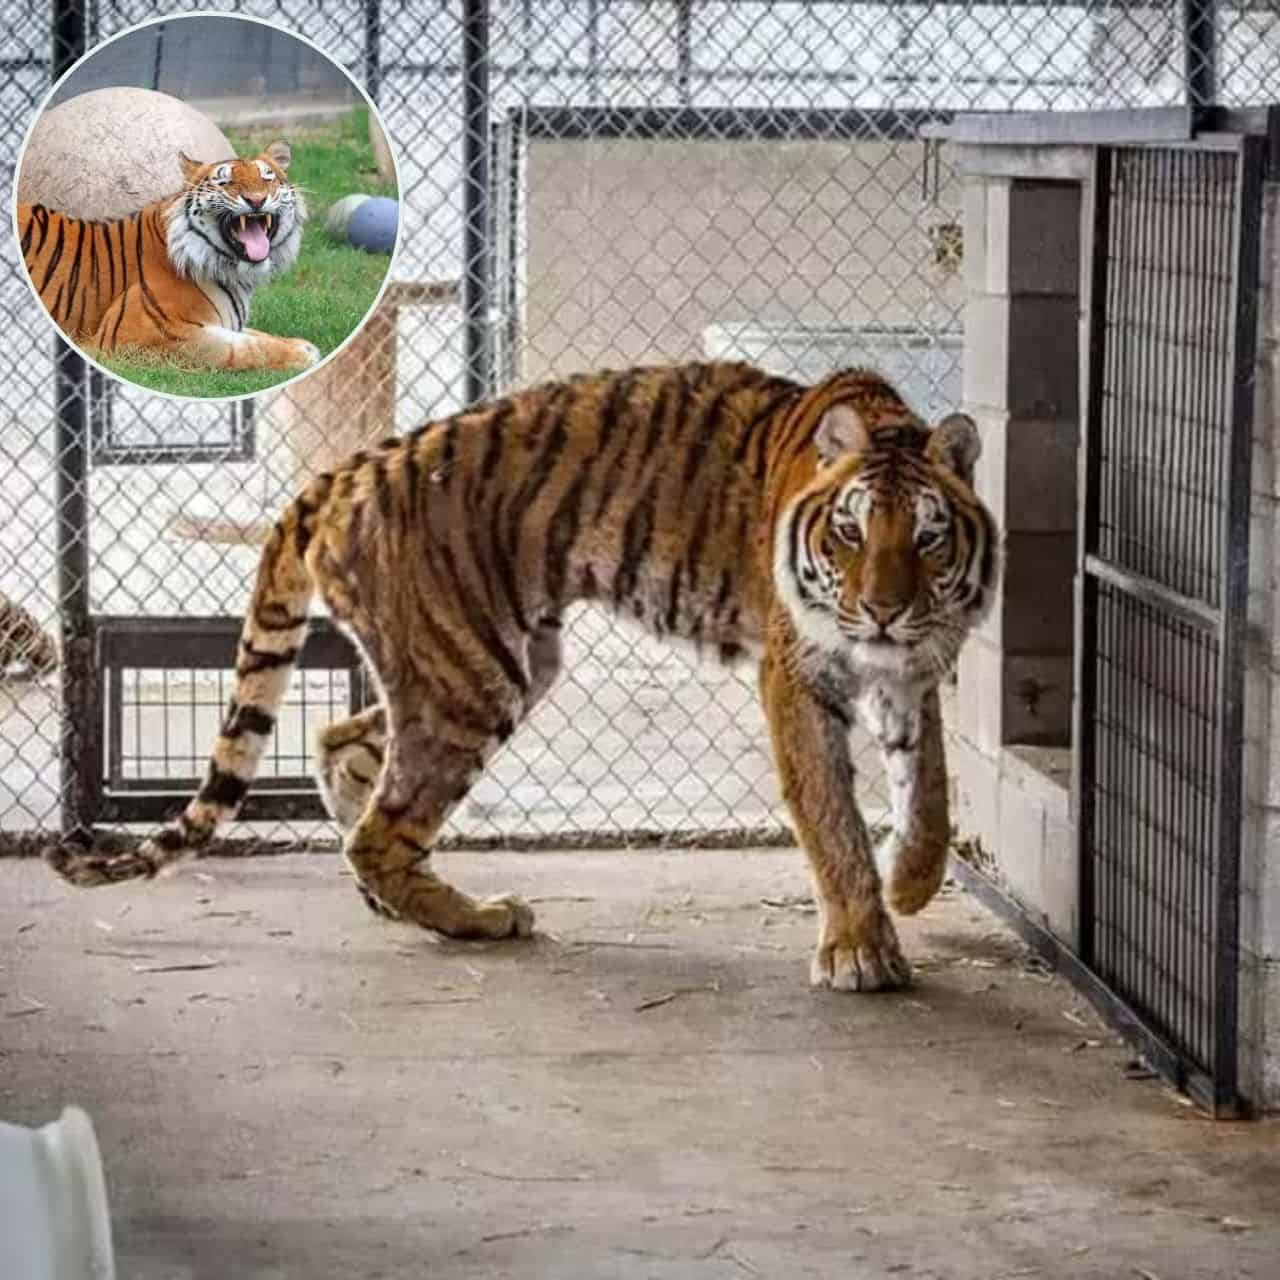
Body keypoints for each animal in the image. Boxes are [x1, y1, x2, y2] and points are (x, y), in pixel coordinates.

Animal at [17, 141, 317, 372]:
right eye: (225, 181)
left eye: (267, 177)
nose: (256, 200)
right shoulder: (142, 334)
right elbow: (241, 349)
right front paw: (302, 355)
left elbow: (253, 336)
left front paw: (299, 344)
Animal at [46, 361, 999, 993]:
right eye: (850, 531)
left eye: (927, 535)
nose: (882, 609)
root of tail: (341, 470)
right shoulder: (795, 676)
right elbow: (831, 814)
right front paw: (862, 949)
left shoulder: (914, 668)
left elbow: (932, 789)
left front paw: (911, 880)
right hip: (475, 676)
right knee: (380, 825)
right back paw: (478, 918)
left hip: (478, 666)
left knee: (344, 744)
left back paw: (402, 901)